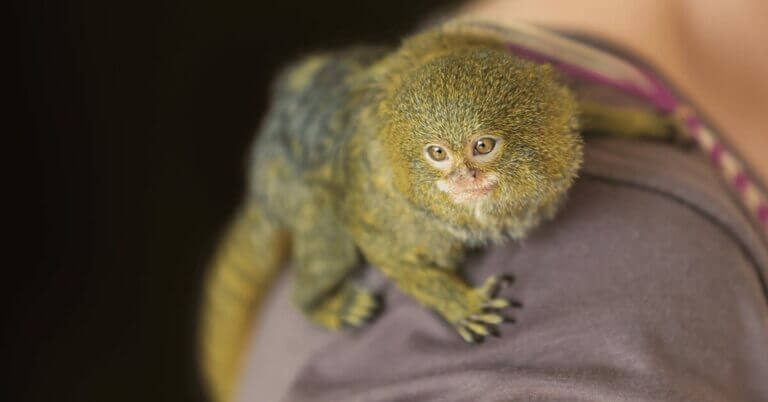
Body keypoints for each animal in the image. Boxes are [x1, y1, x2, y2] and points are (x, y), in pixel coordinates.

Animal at [198, 22, 676, 402]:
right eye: (437, 153)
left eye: (483, 146)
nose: (463, 176)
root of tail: (261, 172)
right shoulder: (393, 207)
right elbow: (385, 250)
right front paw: (460, 305)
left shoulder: (554, 103)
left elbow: (577, 112)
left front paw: (650, 125)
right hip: (298, 197)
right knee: (330, 244)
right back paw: (323, 305)